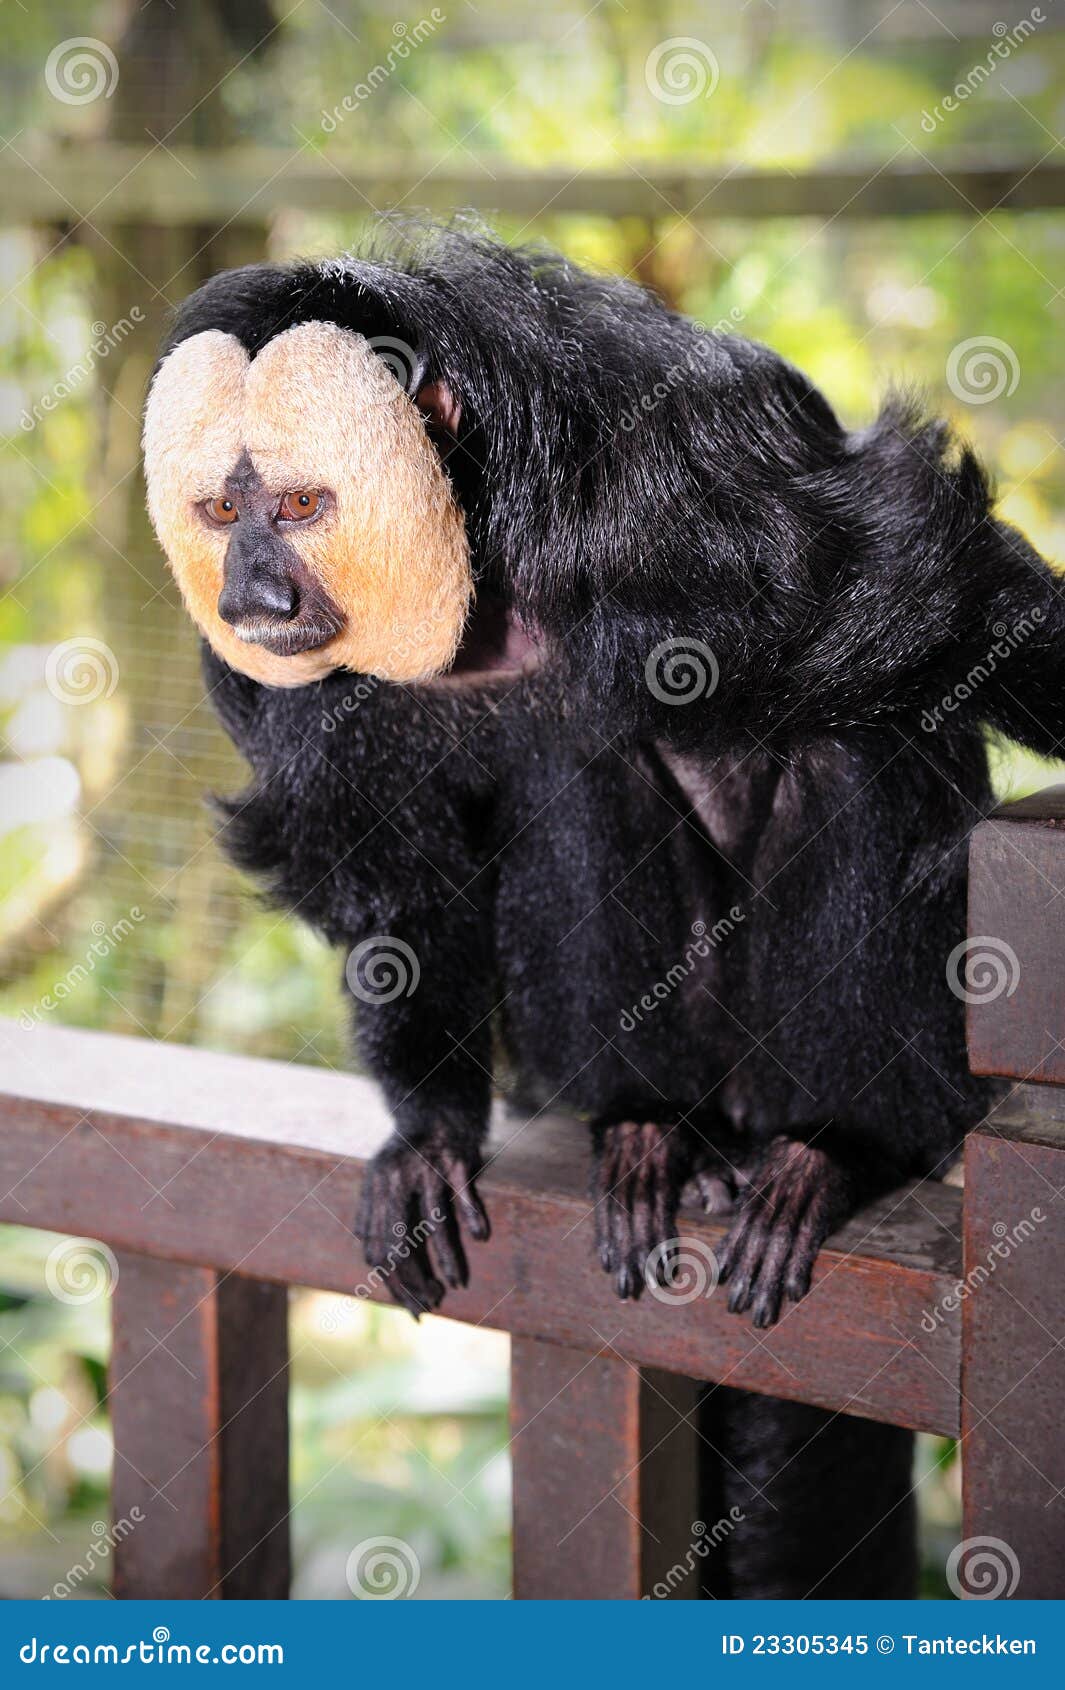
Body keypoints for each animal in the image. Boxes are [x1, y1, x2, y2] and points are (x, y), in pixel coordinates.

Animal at [143, 225, 1062, 1596]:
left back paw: (837, 1150)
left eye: (300, 506)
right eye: (219, 512)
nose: (253, 595)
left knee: (852, 750)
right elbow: (389, 864)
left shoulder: (688, 499)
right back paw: (644, 1129)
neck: (486, 561)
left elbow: (964, 600)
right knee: (583, 768)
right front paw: (428, 1135)